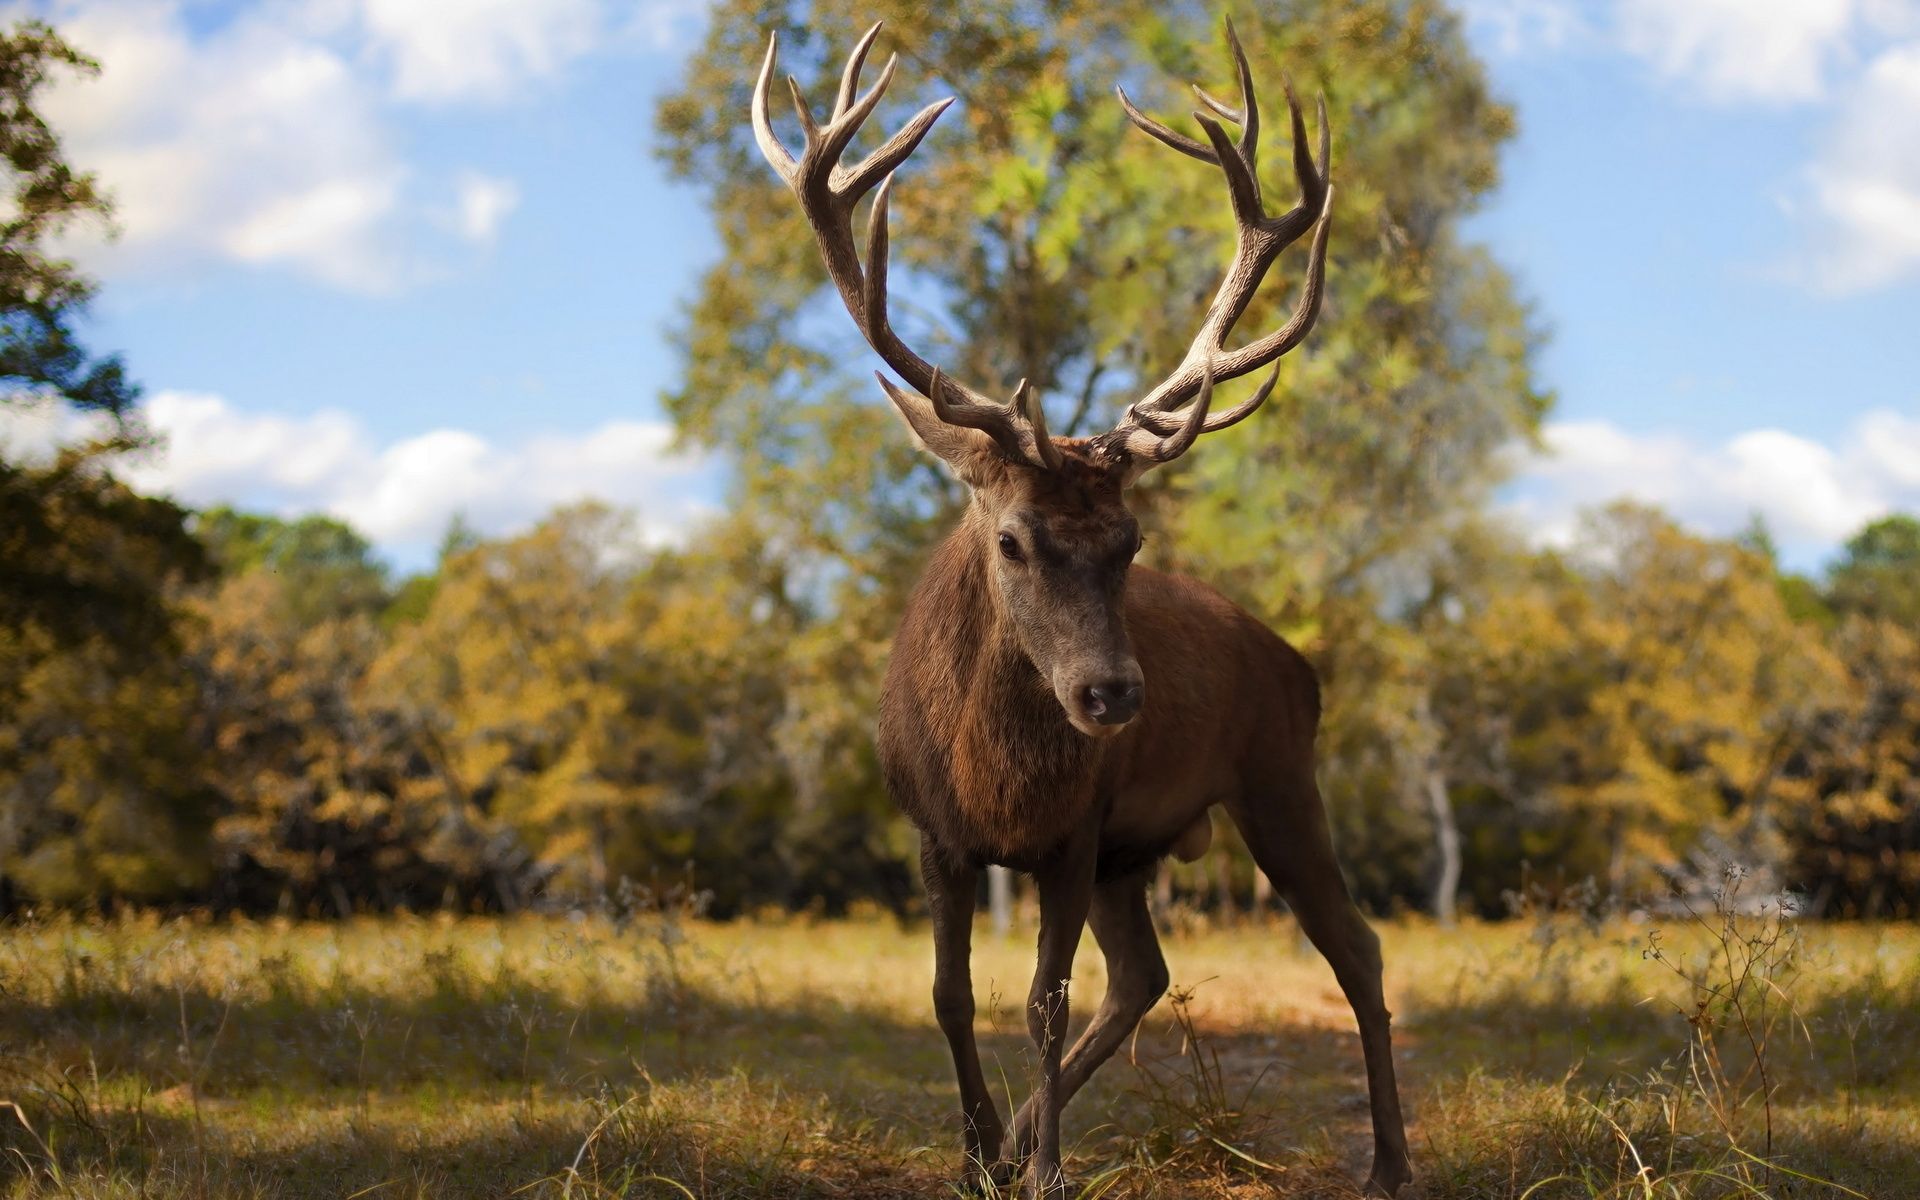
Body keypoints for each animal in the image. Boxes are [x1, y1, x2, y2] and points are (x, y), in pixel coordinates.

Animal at [750, 16, 1411, 1198]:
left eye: (1130, 542)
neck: (995, 781)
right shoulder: (936, 831)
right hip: (1137, 853)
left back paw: (1386, 1161)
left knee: (1356, 947)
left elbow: (1042, 1005)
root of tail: (1299, 664)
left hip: (1276, 777)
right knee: (1145, 974)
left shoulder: (1074, 831)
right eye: (1013, 538)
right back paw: (1018, 1139)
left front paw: (1047, 1169)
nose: (1112, 696)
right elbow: (948, 995)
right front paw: (978, 1155)